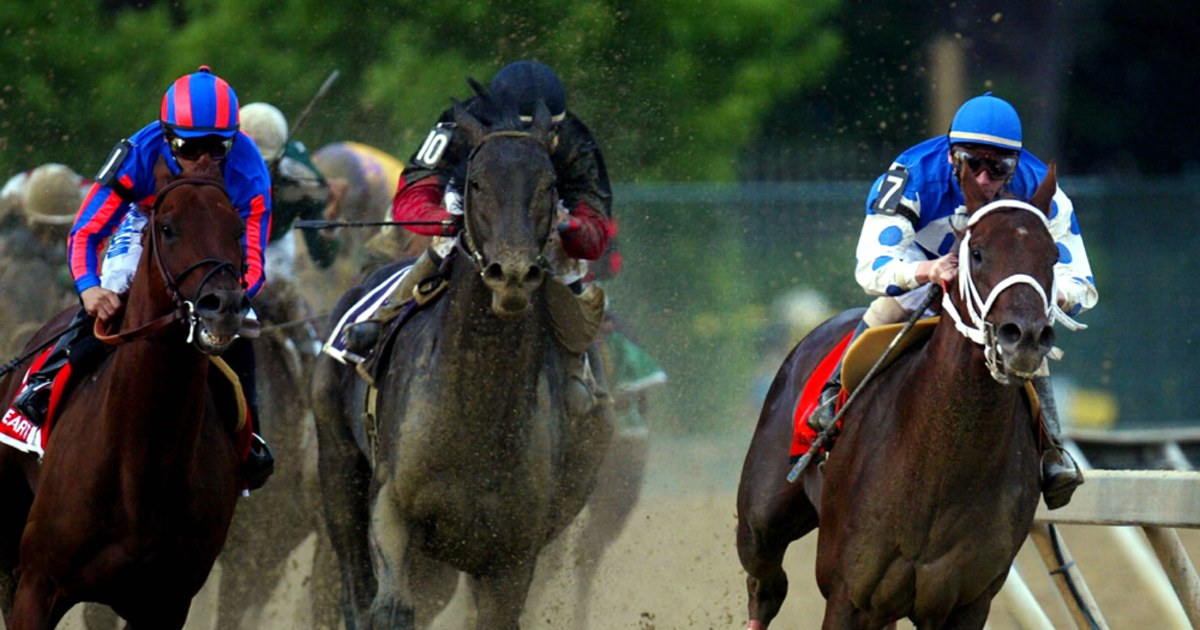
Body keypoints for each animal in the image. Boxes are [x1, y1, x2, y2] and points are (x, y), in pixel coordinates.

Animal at [312, 102, 614, 629]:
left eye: (548, 185)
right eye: (476, 183)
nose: (511, 273)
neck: (477, 411)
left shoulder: (511, 556)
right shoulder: (391, 509)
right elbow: (388, 608)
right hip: (338, 463)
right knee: (353, 586)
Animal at [736, 164, 1063, 629]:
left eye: (1052, 257)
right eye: (977, 253)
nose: (1026, 336)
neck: (943, 464)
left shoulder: (968, 602)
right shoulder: (848, 593)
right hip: (761, 518)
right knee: (766, 585)